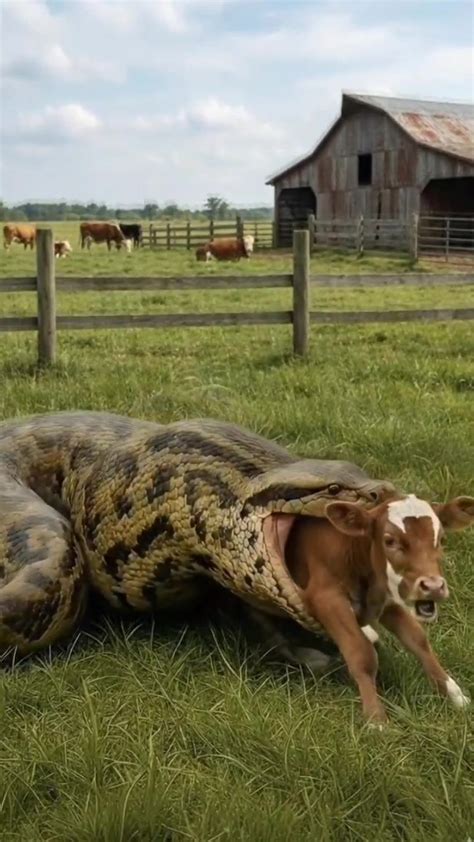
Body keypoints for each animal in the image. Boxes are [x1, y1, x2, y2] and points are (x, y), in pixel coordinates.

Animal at [247, 493, 474, 727]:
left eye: (442, 540)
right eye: (389, 540)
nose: (433, 586)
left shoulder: (387, 597)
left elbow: (418, 640)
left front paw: (456, 695)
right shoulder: (326, 598)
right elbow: (361, 652)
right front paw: (376, 718)